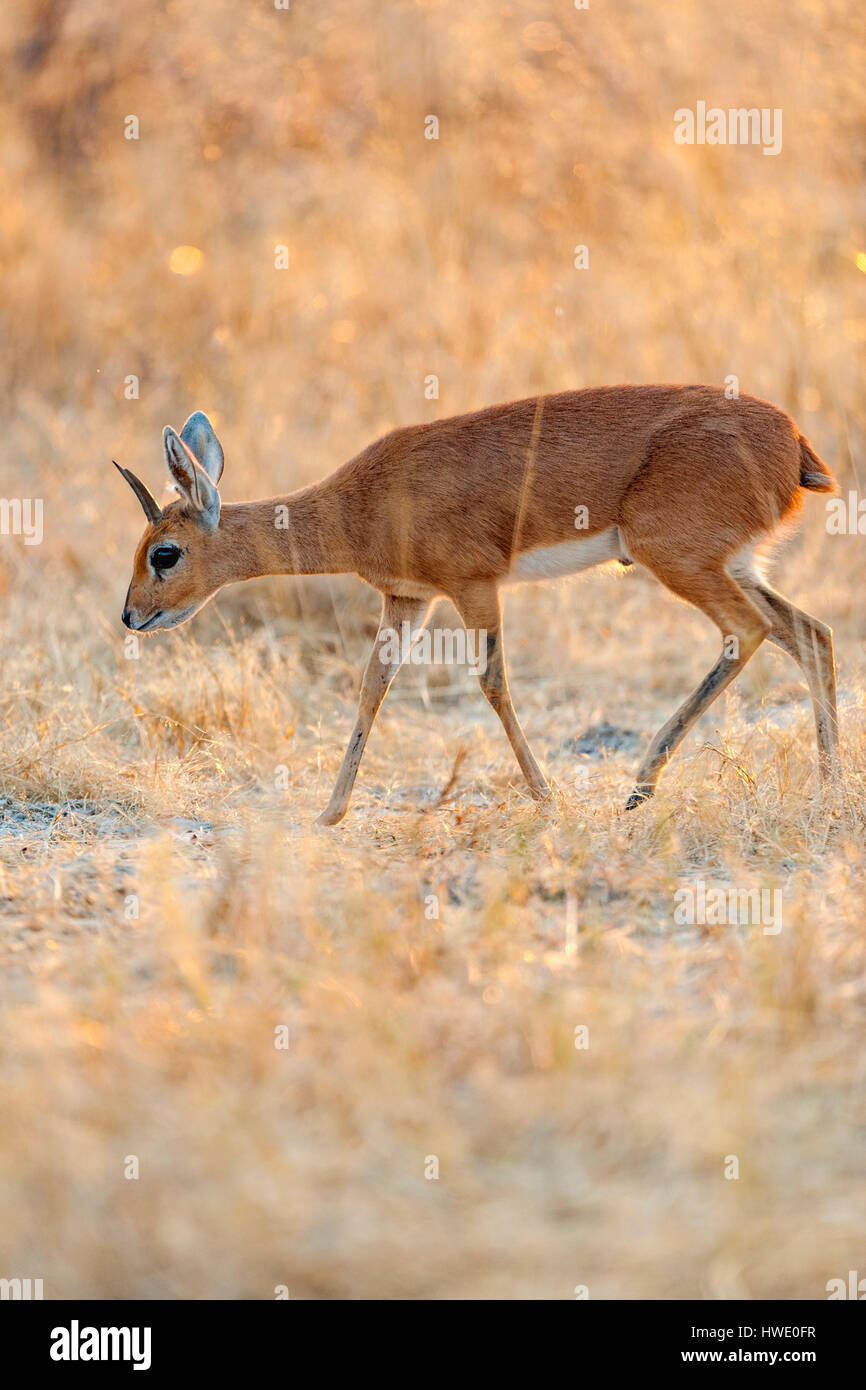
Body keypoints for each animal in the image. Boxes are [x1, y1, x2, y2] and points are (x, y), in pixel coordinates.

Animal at [115, 386, 840, 824]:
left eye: (165, 553)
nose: (131, 616)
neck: (359, 502)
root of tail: (792, 440)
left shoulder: (473, 588)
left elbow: (492, 683)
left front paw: (546, 798)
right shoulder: (408, 597)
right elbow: (372, 687)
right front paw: (330, 813)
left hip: (681, 562)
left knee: (748, 631)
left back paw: (639, 788)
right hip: (733, 565)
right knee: (813, 634)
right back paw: (830, 785)